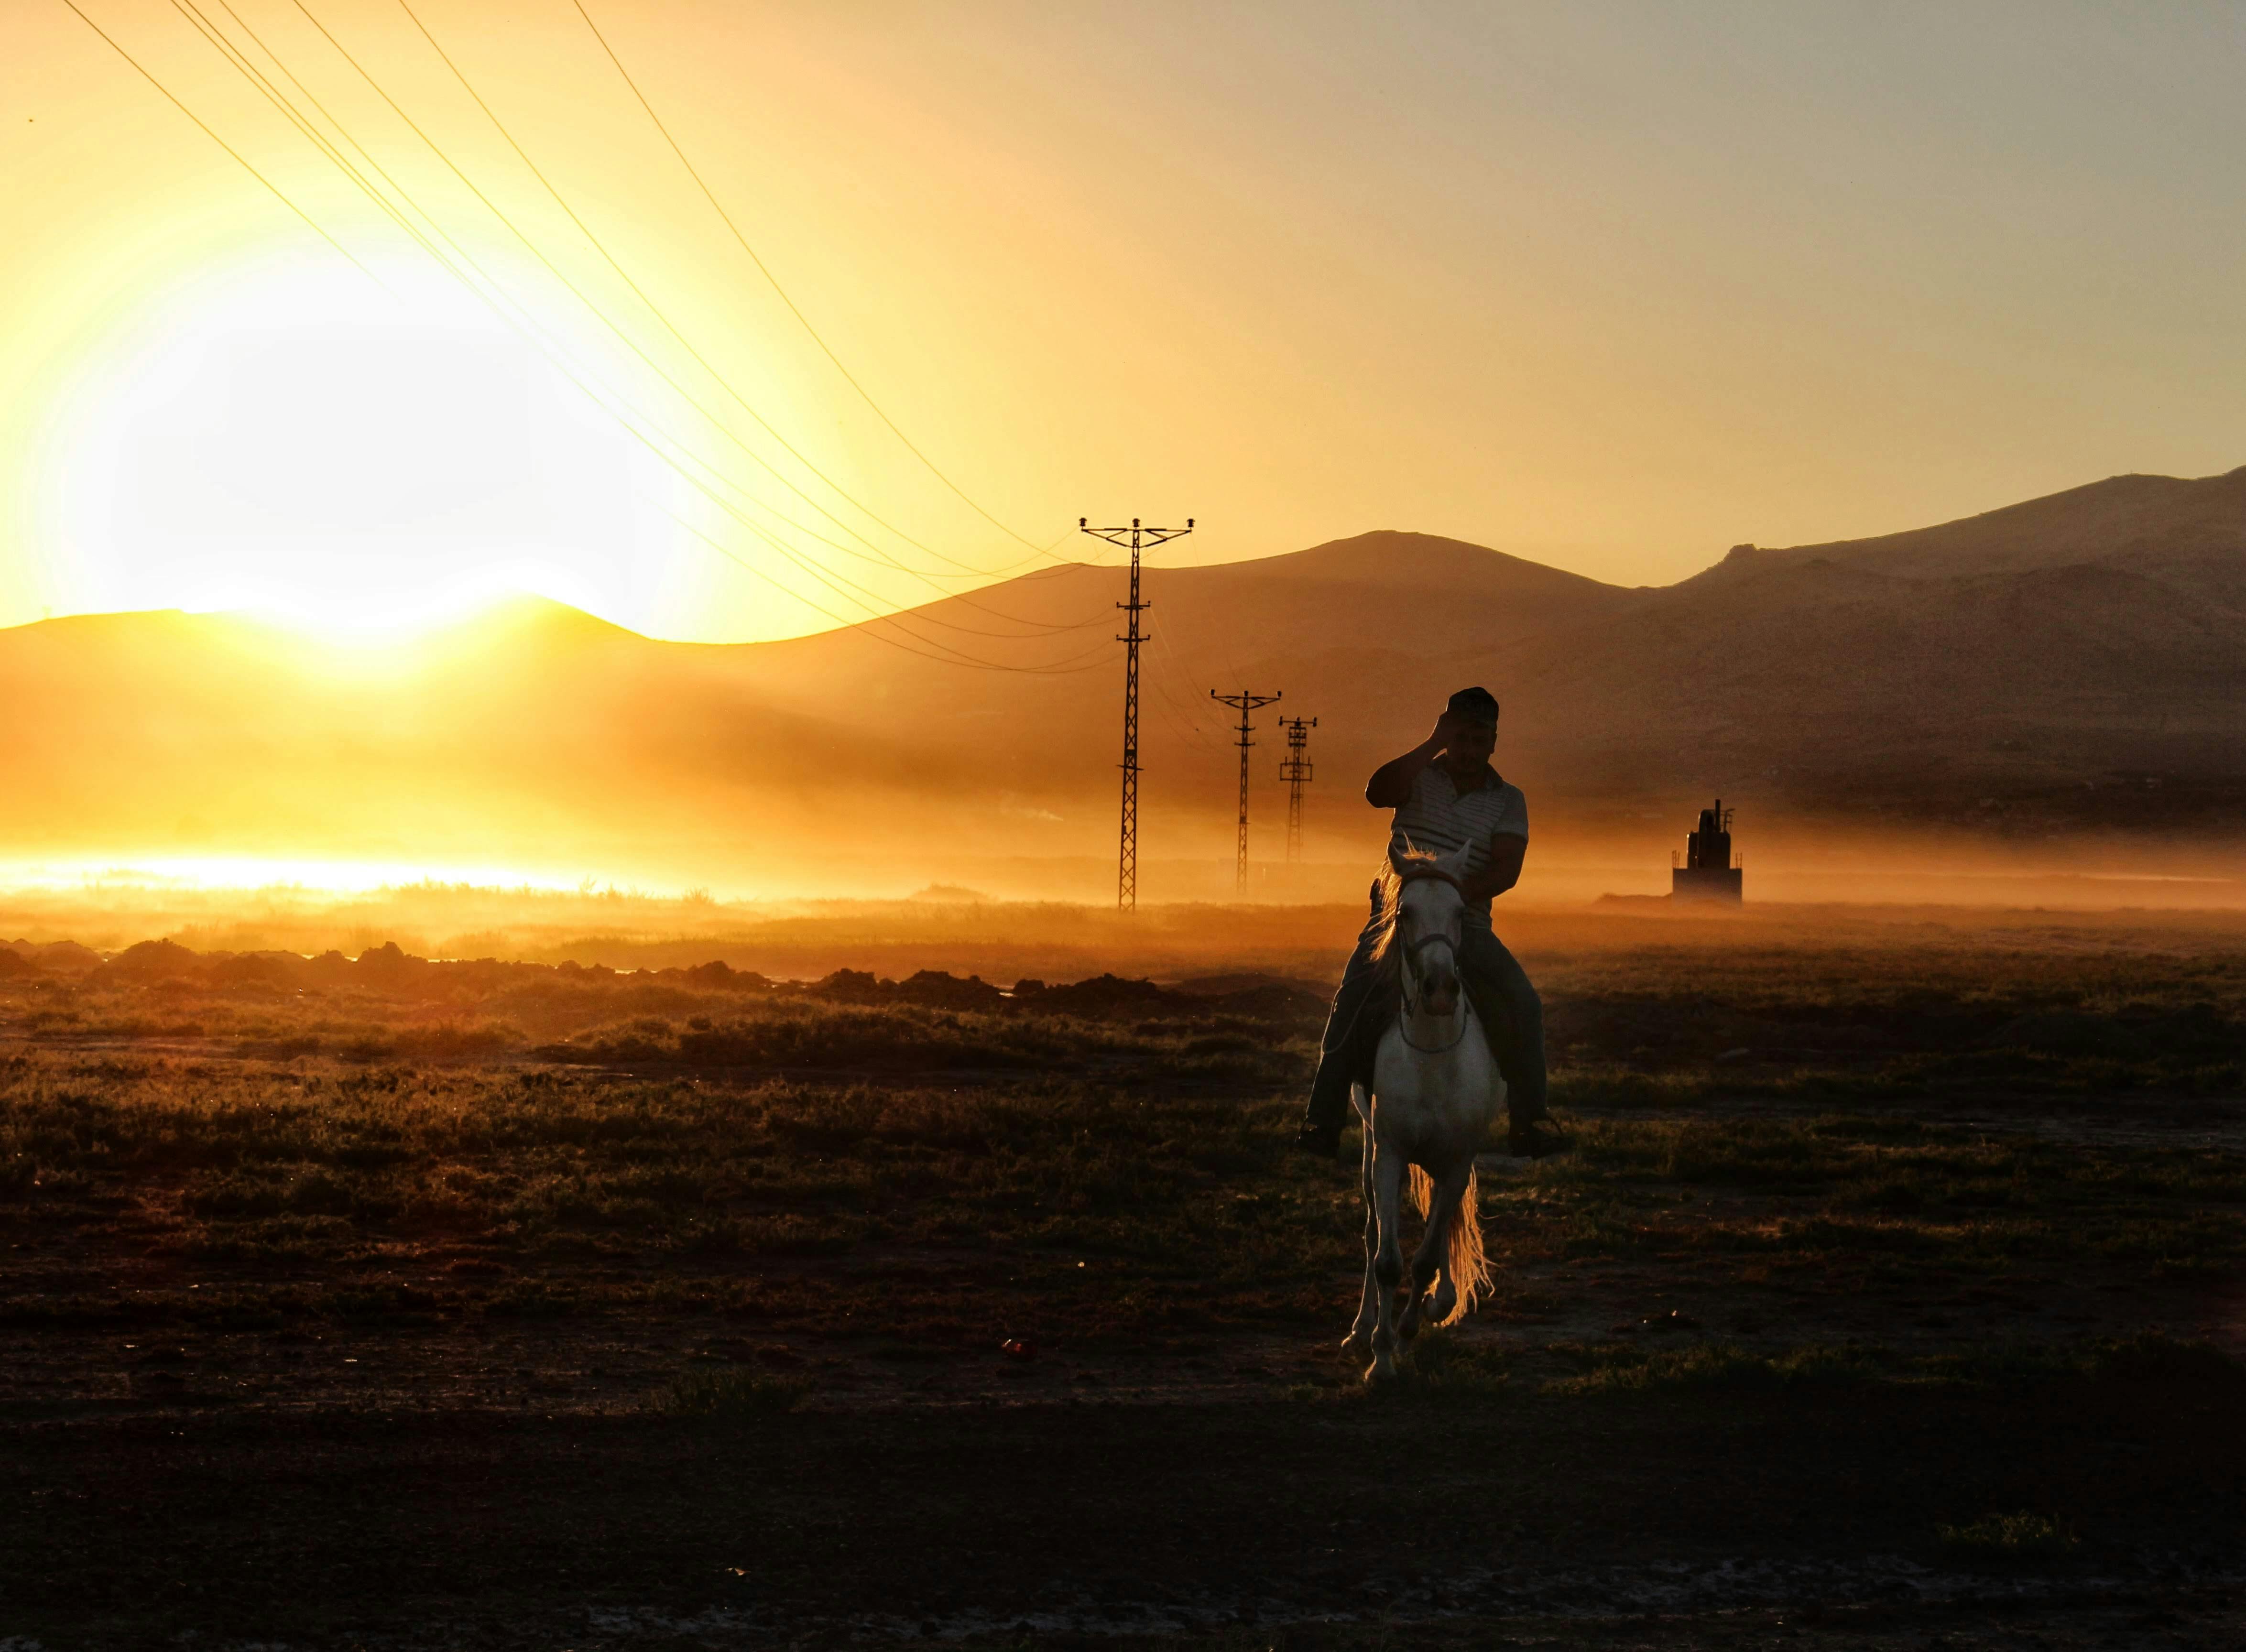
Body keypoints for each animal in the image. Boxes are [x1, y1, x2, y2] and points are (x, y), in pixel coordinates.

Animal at [1343, 842, 1503, 1384]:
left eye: (1458, 911)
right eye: (1405, 913)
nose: (1439, 988)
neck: (1433, 1054)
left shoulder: (1456, 1163)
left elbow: (1430, 1255)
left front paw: (1416, 1324)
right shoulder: (1390, 1153)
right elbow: (1389, 1261)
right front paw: (1382, 1354)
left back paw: (1439, 1303)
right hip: (1372, 1152)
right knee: (1373, 1234)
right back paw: (1361, 1327)